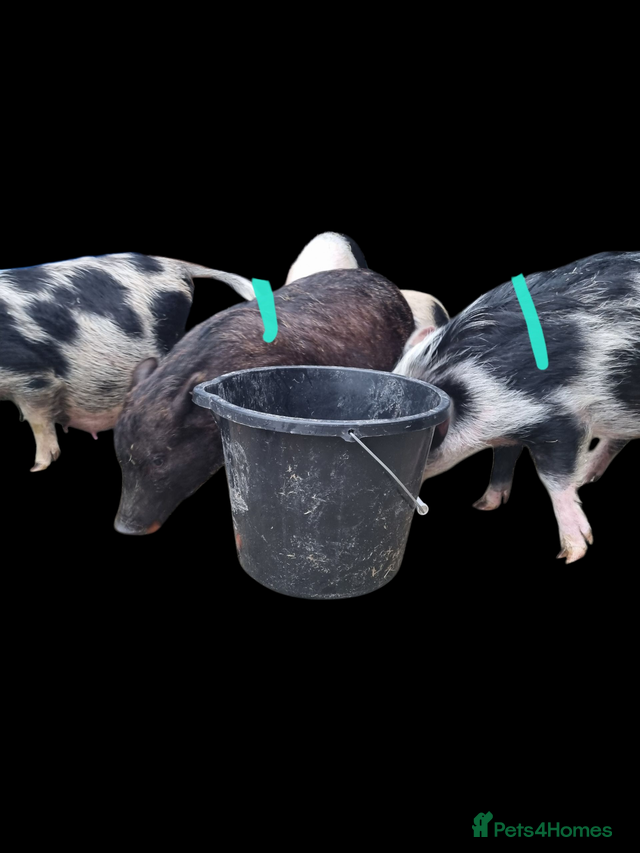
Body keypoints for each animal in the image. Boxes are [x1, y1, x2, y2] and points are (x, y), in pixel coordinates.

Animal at [393, 251, 640, 563]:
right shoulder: (510, 422)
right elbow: (503, 457)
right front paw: (484, 505)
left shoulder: (557, 417)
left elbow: (553, 477)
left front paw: (572, 553)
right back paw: (587, 477)